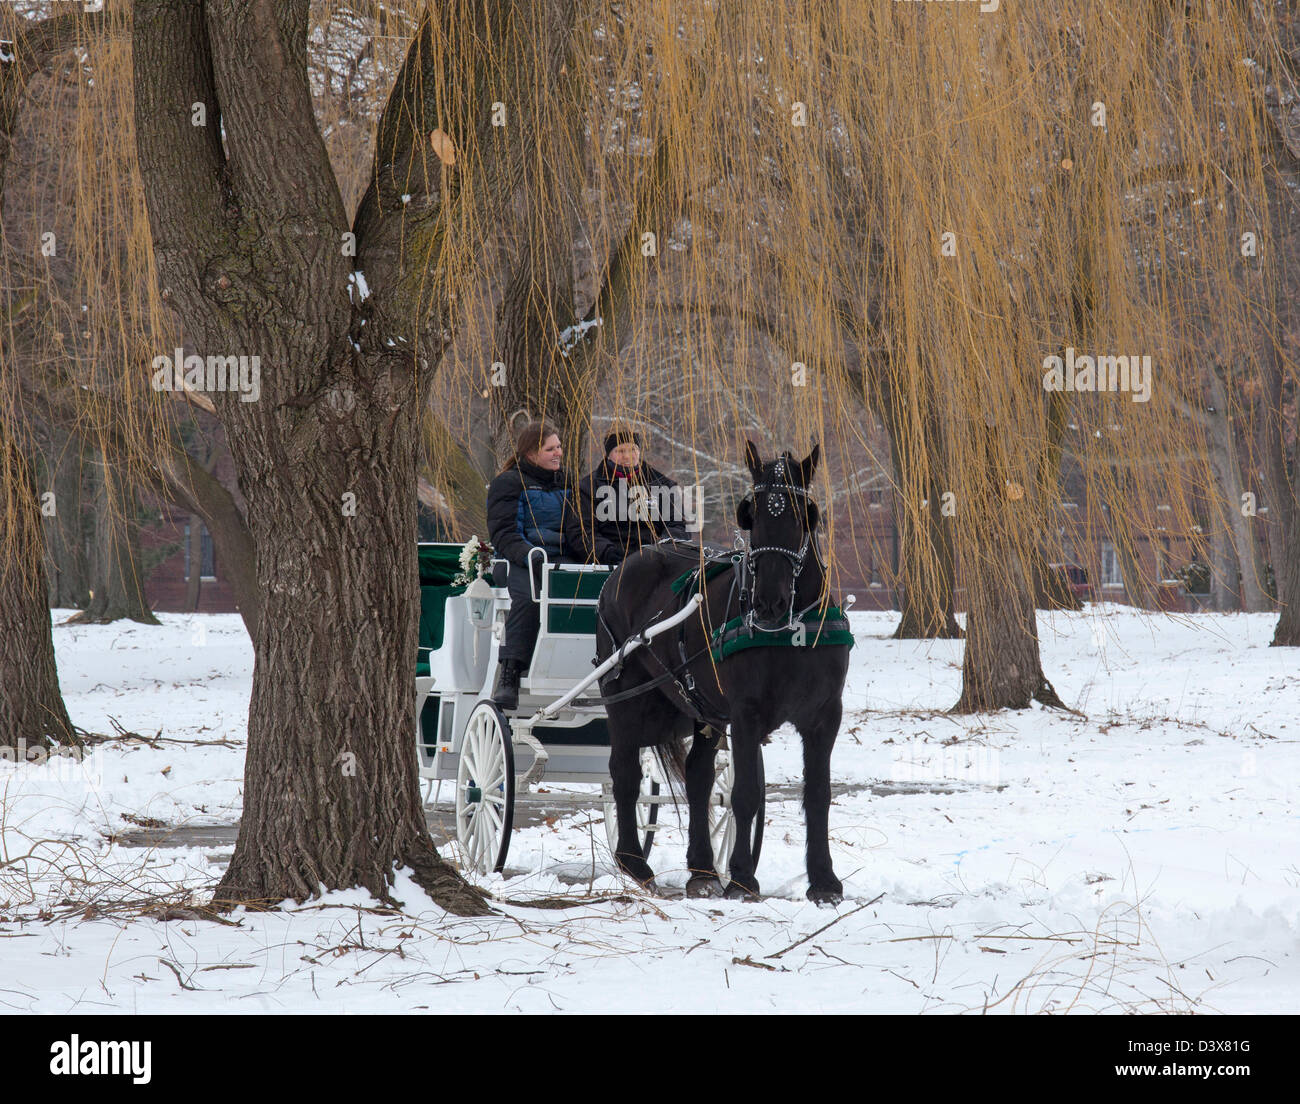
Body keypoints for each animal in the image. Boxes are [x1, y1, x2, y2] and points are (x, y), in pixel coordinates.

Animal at [595, 441, 851, 904]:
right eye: (752, 514)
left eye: (804, 515)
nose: (768, 602)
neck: (792, 627)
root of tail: (631, 562)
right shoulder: (746, 714)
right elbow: (744, 793)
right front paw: (743, 878)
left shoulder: (825, 716)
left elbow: (818, 794)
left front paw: (824, 880)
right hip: (626, 697)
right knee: (625, 774)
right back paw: (634, 863)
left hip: (701, 708)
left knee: (698, 775)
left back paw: (701, 870)